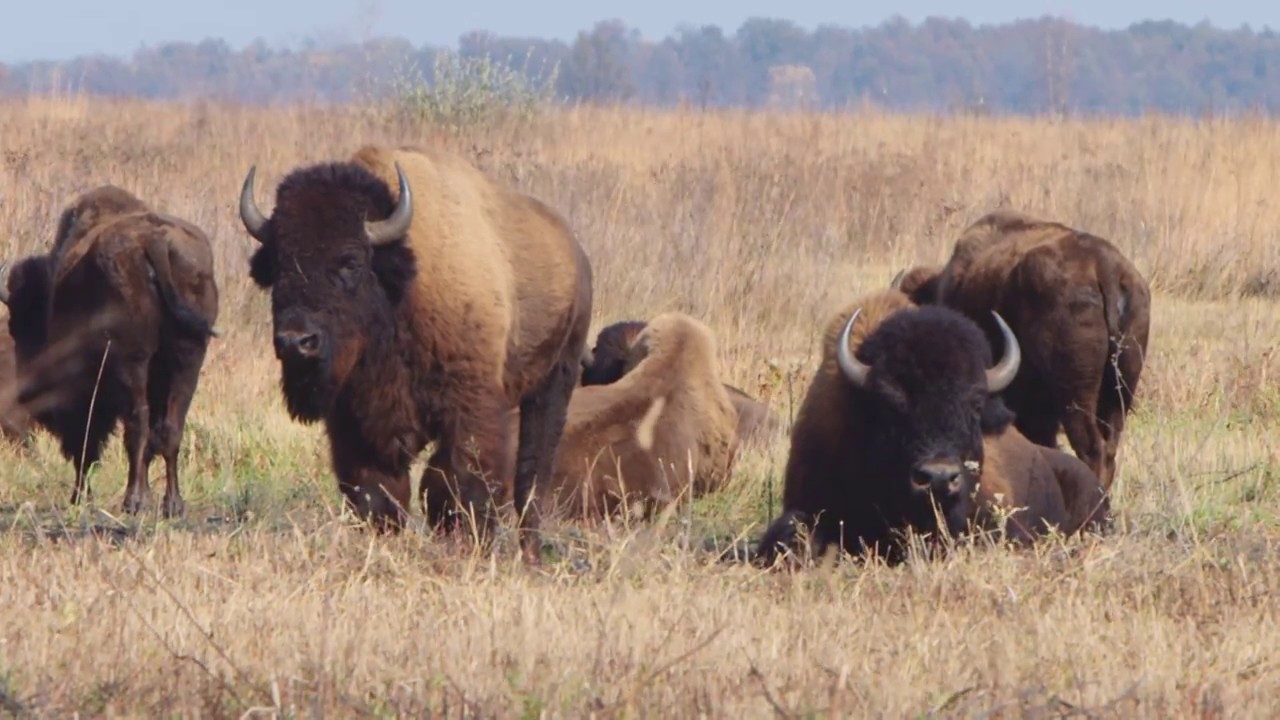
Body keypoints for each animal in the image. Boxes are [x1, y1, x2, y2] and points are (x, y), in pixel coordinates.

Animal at [1, 185, 220, 517]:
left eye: (21, 320)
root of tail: (154, 241)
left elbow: (87, 439)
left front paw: (80, 496)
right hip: (188, 357)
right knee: (169, 428)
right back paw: (172, 504)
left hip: (132, 362)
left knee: (136, 425)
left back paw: (133, 501)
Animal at [238, 144, 593, 561]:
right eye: (278, 263)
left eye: (350, 261)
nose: (296, 341)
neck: (400, 288)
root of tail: (574, 252)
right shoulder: (357, 426)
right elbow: (378, 494)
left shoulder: (472, 411)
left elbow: (459, 481)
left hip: (554, 382)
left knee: (532, 478)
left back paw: (530, 554)